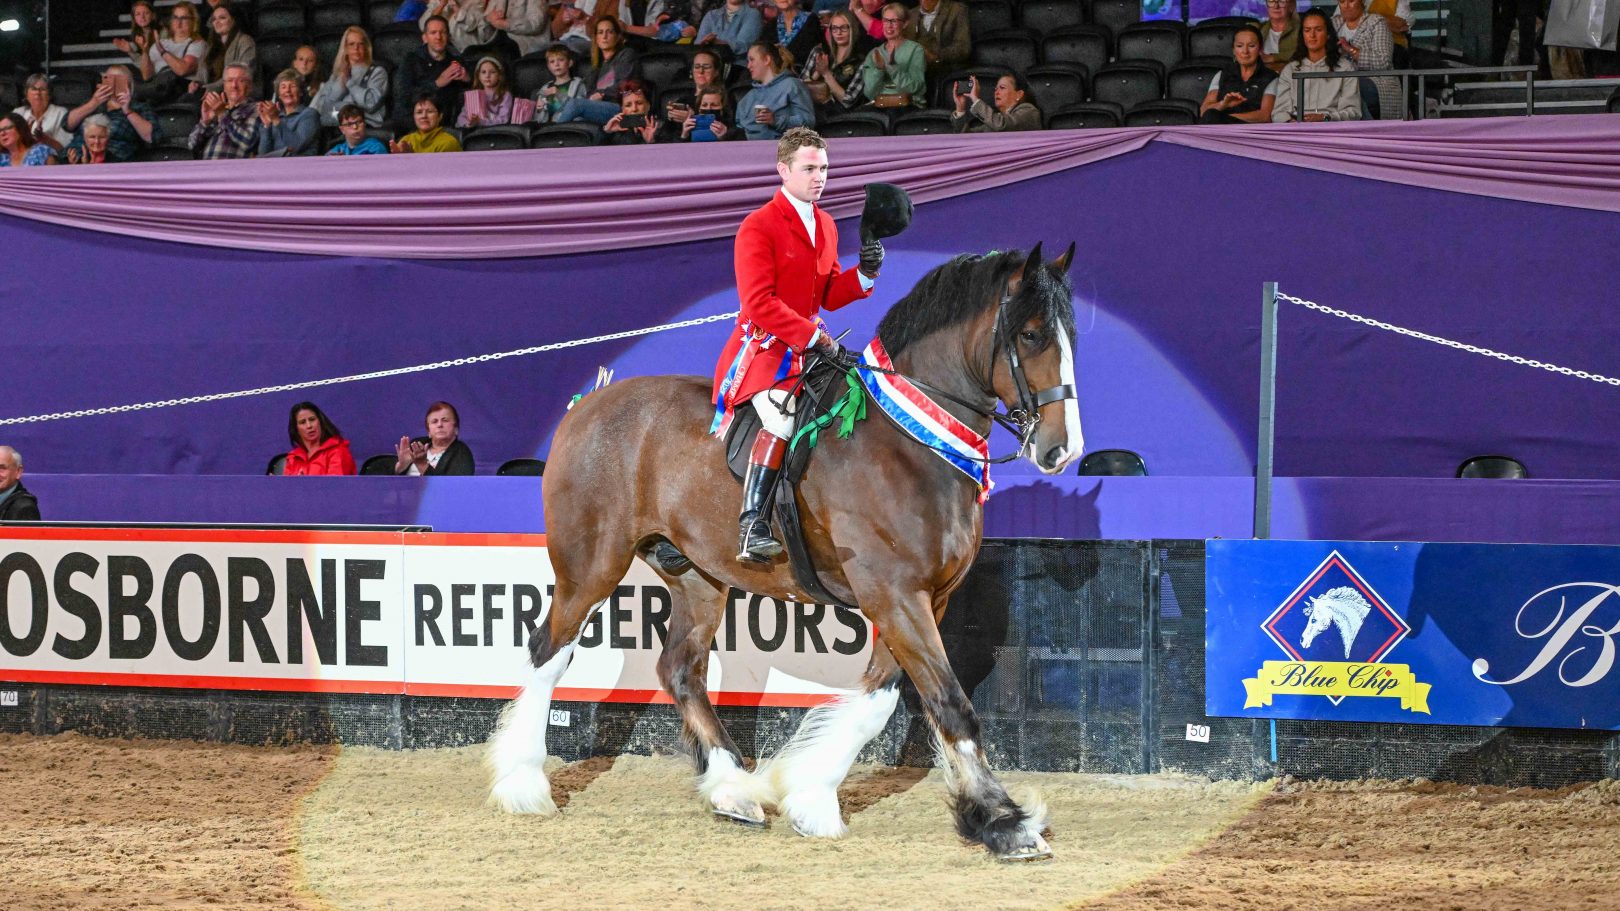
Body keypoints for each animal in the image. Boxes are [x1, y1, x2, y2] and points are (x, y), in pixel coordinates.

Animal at [487, 242, 1085, 861]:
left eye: (1069, 335)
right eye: (1031, 335)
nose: (1062, 450)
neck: (909, 445)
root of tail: (586, 406)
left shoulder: (924, 599)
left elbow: (877, 700)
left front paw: (810, 796)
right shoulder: (895, 595)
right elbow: (949, 703)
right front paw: (1004, 822)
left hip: (698, 577)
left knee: (680, 668)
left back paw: (732, 789)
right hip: (590, 565)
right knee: (549, 652)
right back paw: (524, 784)